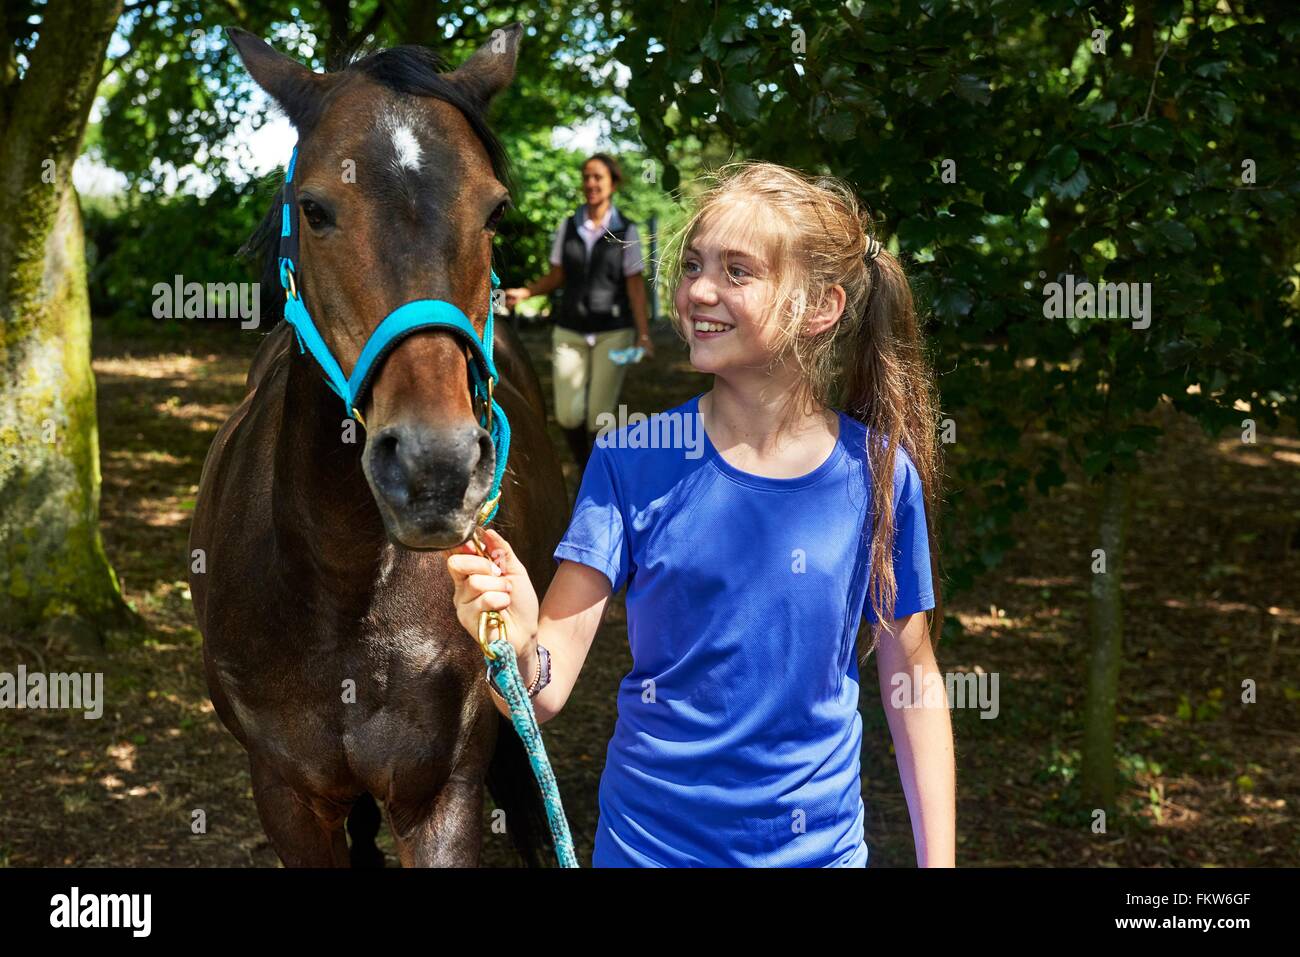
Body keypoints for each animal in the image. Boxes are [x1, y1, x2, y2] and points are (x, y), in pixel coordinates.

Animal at [188, 24, 569, 868]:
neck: (340, 585)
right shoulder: (288, 796)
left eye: (495, 211)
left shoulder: (441, 796)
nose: (434, 469)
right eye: (314, 208)